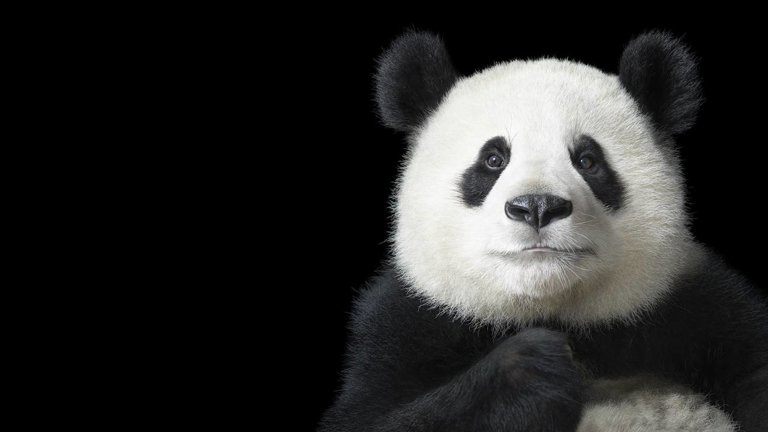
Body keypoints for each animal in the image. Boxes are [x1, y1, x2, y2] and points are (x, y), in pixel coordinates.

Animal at [318, 31, 768, 432]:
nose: (537, 206)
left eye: (587, 160)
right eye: (493, 160)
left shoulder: (697, 306)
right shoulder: (405, 324)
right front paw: (532, 369)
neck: (550, 308)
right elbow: (368, 417)